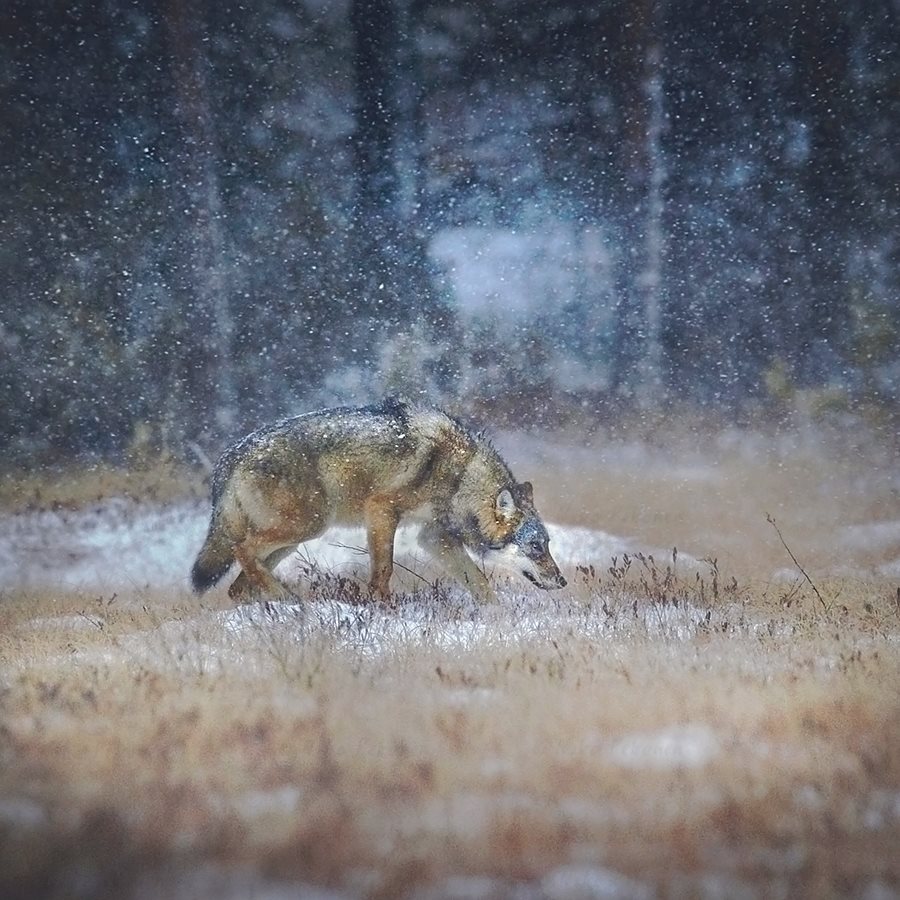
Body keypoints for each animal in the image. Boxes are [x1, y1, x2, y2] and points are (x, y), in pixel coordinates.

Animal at [191, 398, 566, 602]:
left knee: (238, 587)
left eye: (546, 544)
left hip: (293, 540)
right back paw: (291, 601)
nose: (562, 581)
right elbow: (383, 571)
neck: (461, 475)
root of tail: (229, 457)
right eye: (535, 547)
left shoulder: (434, 538)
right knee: (241, 550)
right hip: (307, 526)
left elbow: (481, 583)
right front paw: (384, 608)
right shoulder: (382, 510)